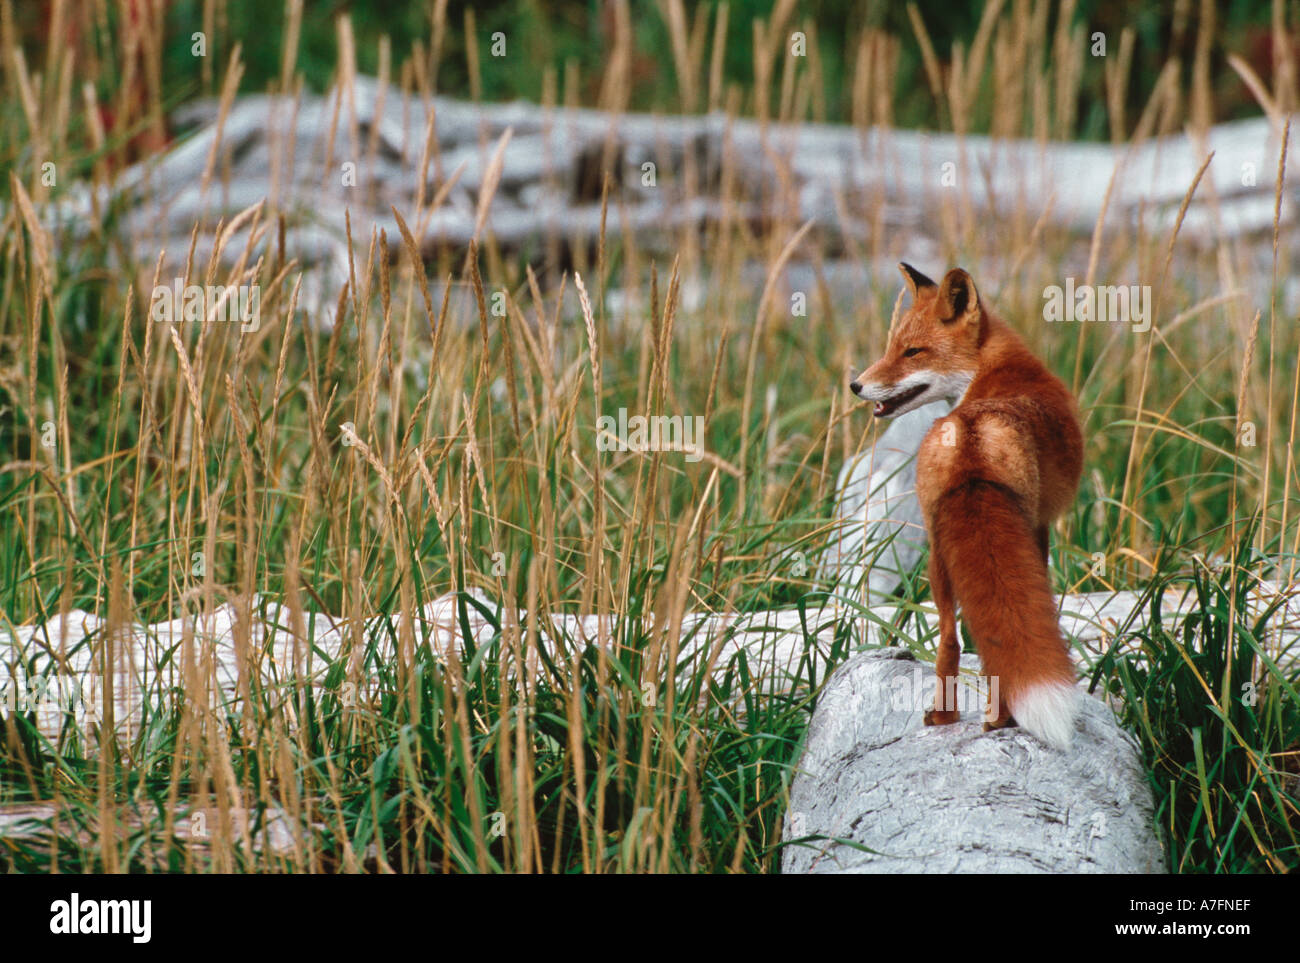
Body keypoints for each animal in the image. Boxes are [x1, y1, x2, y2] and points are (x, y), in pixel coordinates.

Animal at [850, 263, 1084, 750]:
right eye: (893, 348)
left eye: (912, 352)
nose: (855, 384)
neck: (994, 370)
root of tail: (971, 433)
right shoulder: (1041, 527)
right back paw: (999, 720)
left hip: (937, 554)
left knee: (951, 640)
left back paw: (944, 717)